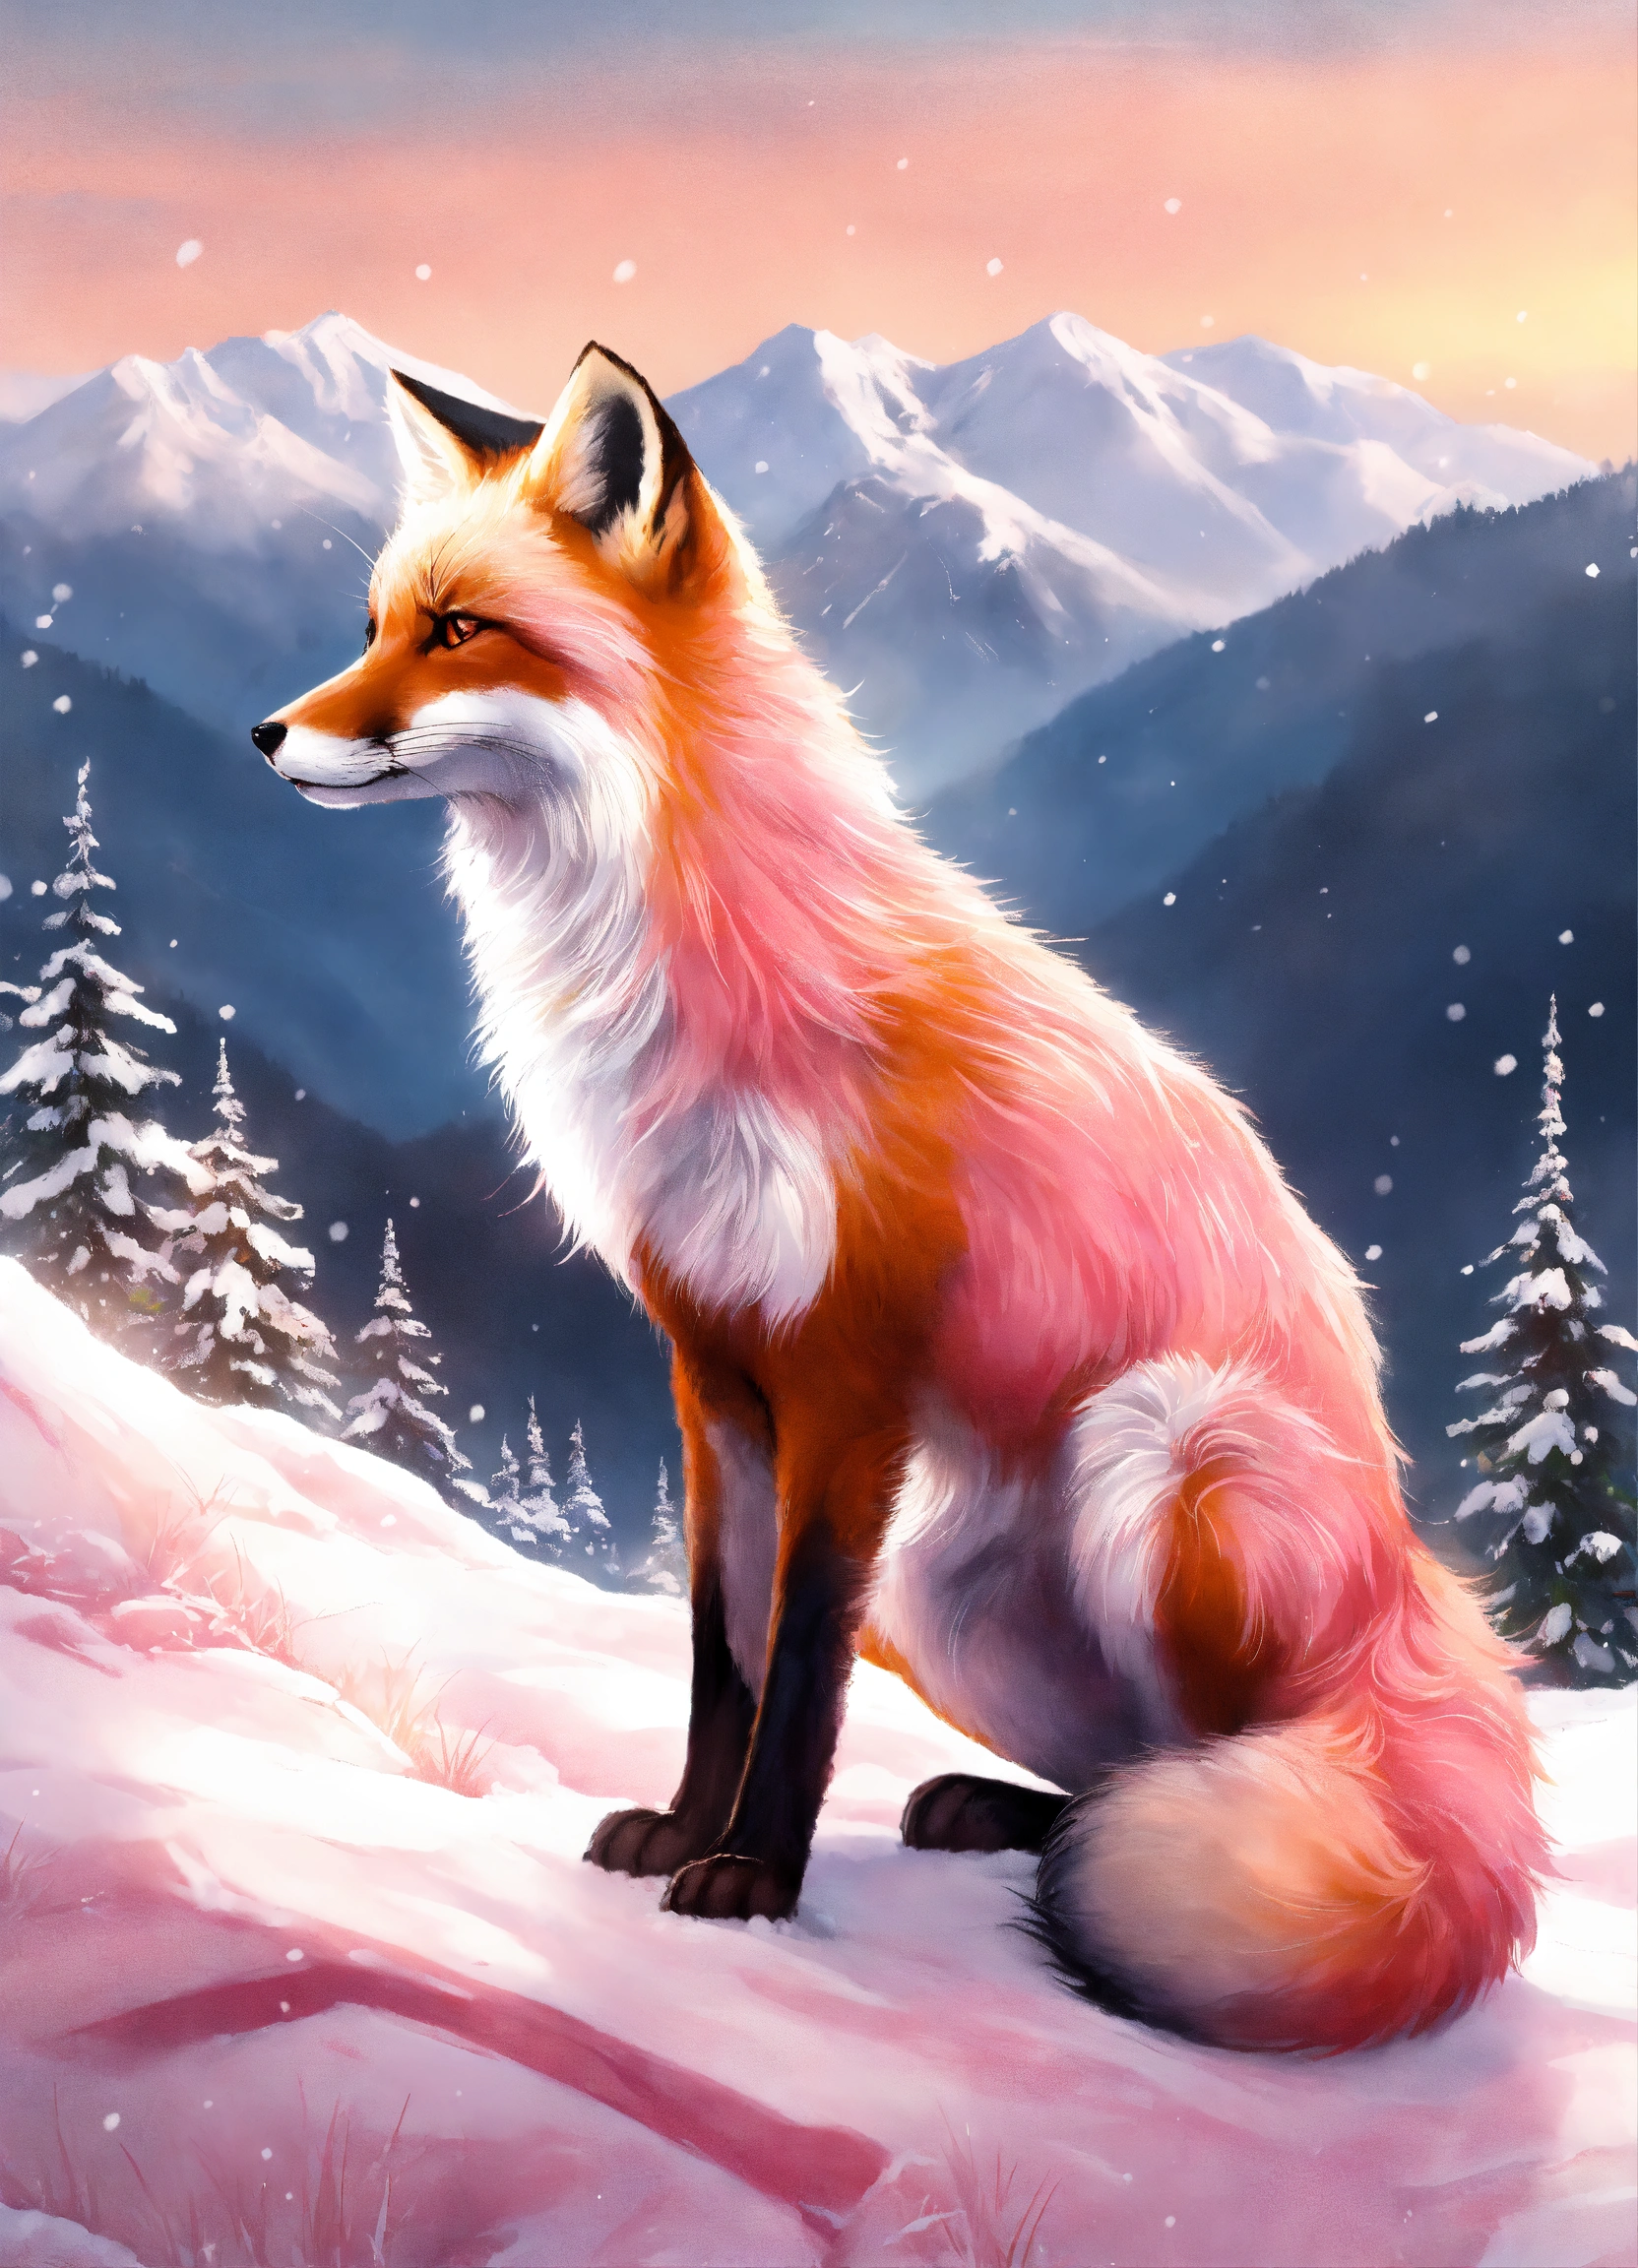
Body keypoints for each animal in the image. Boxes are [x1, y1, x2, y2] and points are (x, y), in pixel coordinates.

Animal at [251, 343, 1546, 2052]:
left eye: (458, 631)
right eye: (373, 626)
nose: (266, 734)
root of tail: (1415, 1589)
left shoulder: (850, 1375)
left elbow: (794, 1663)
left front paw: (753, 1877)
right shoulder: (710, 1367)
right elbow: (720, 1651)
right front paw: (684, 1831)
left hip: (1162, 1455)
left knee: (1220, 1774)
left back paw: (1098, 1869)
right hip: (936, 1588)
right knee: (1122, 1768)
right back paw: (1003, 1816)